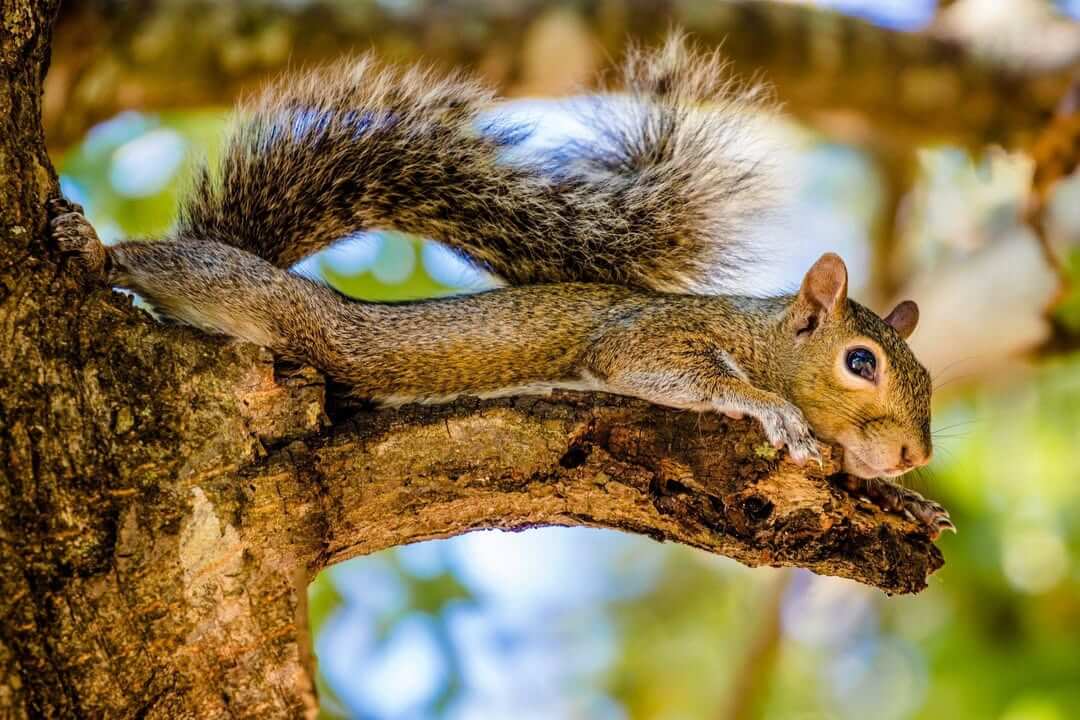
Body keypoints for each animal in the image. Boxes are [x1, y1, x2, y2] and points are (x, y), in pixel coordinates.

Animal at [49, 34, 952, 535]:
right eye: (861, 362)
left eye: (928, 378)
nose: (914, 455)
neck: (757, 336)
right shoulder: (650, 337)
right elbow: (664, 370)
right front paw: (772, 409)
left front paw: (911, 504)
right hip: (262, 299)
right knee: (173, 263)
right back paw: (92, 249)